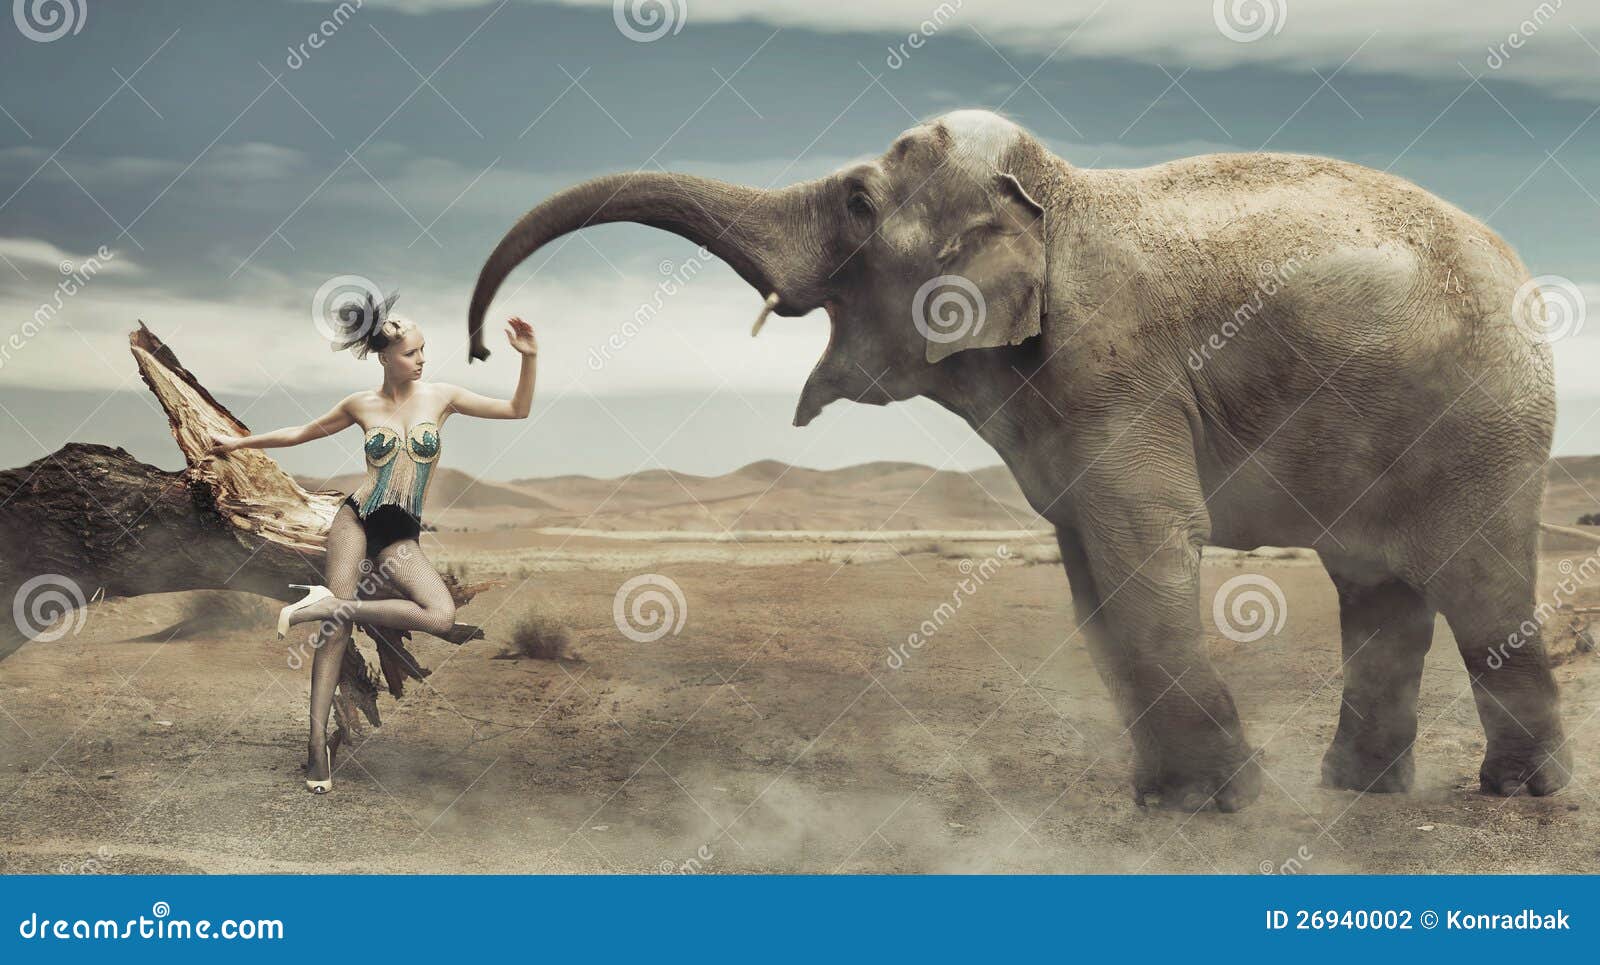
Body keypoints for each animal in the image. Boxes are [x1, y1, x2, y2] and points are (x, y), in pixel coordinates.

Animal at [465, 108, 1572, 812]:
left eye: (859, 203)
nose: (484, 342)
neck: (1056, 197)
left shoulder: (1116, 365)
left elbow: (1143, 544)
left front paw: (1220, 804)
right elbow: (1091, 569)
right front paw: (1170, 798)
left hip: (1484, 420)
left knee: (1476, 582)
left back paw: (1516, 791)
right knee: (1378, 589)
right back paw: (1355, 789)